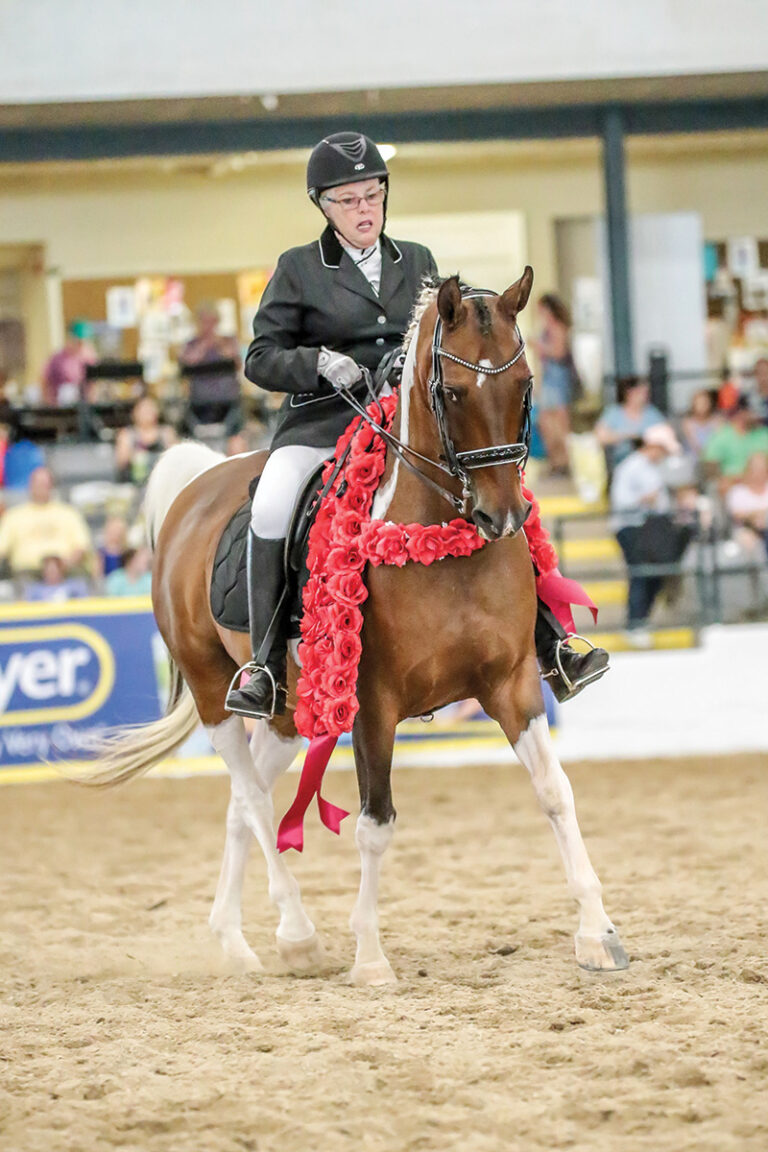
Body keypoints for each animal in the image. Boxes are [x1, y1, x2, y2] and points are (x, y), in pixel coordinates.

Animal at [85, 269, 628, 985]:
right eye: (452, 392)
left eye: (524, 384)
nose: (505, 519)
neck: (441, 545)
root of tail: (196, 489)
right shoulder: (373, 704)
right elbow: (376, 824)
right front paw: (370, 958)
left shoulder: (511, 684)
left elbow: (555, 792)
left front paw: (598, 933)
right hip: (213, 691)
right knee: (254, 799)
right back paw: (299, 933)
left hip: (291, 711)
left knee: (242, 804)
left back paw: (238, 941)